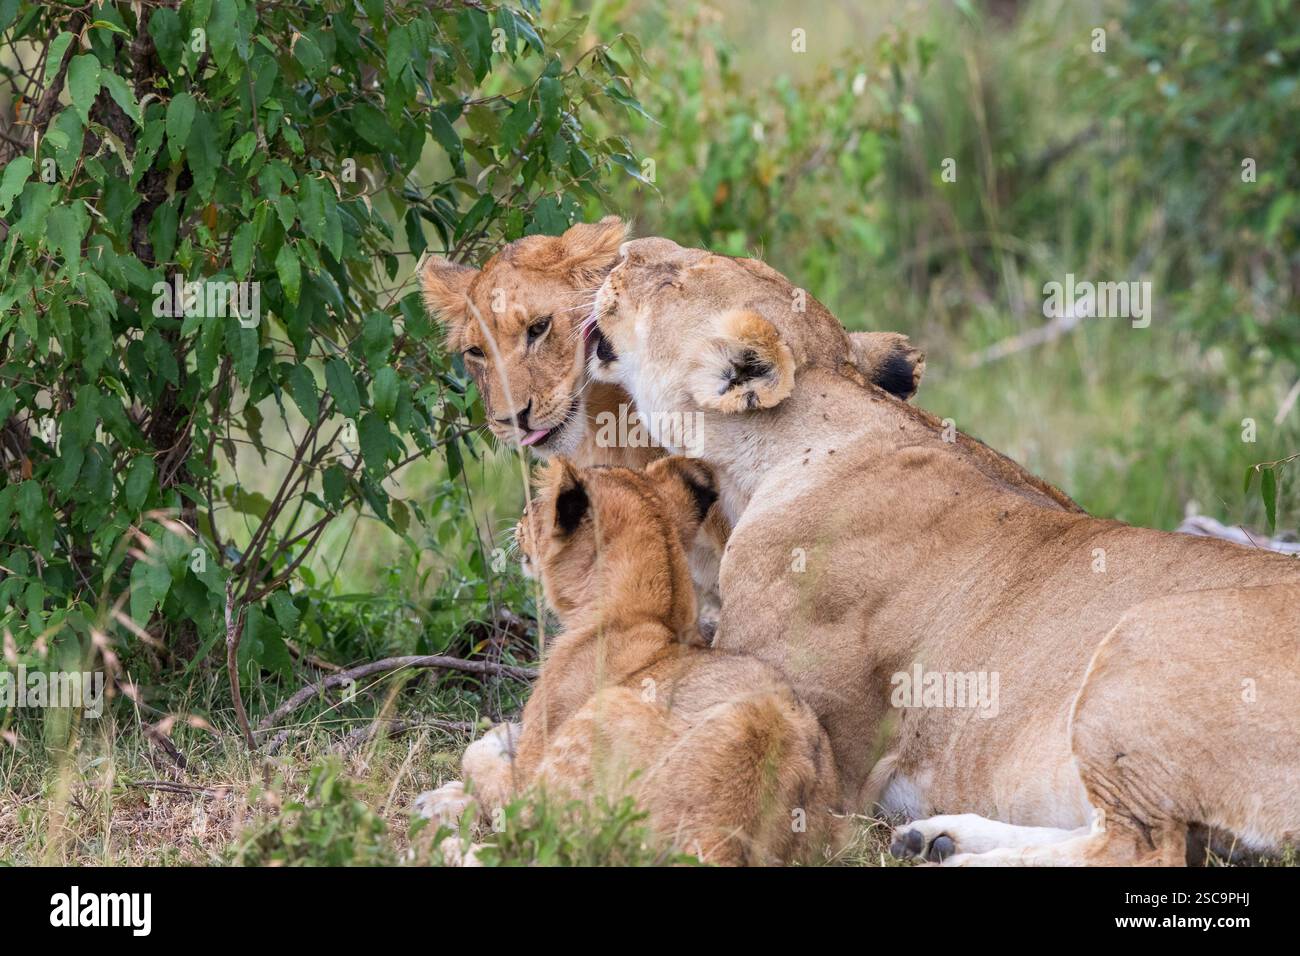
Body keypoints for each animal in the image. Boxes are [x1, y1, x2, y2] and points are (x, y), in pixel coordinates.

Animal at [417, 455, 847, 866]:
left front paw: (468, 768)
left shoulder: (534, 760)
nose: (521, 516)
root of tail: (723, 834)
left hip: (597, 725)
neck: (650, 614)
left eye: (536, 505)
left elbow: (482, 764)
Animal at [586, 235, 1300, 866]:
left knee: (1144, 849)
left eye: (672, 278)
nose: (620, 251)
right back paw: (938, 837)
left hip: (1143, 634)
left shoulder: (799, 728)